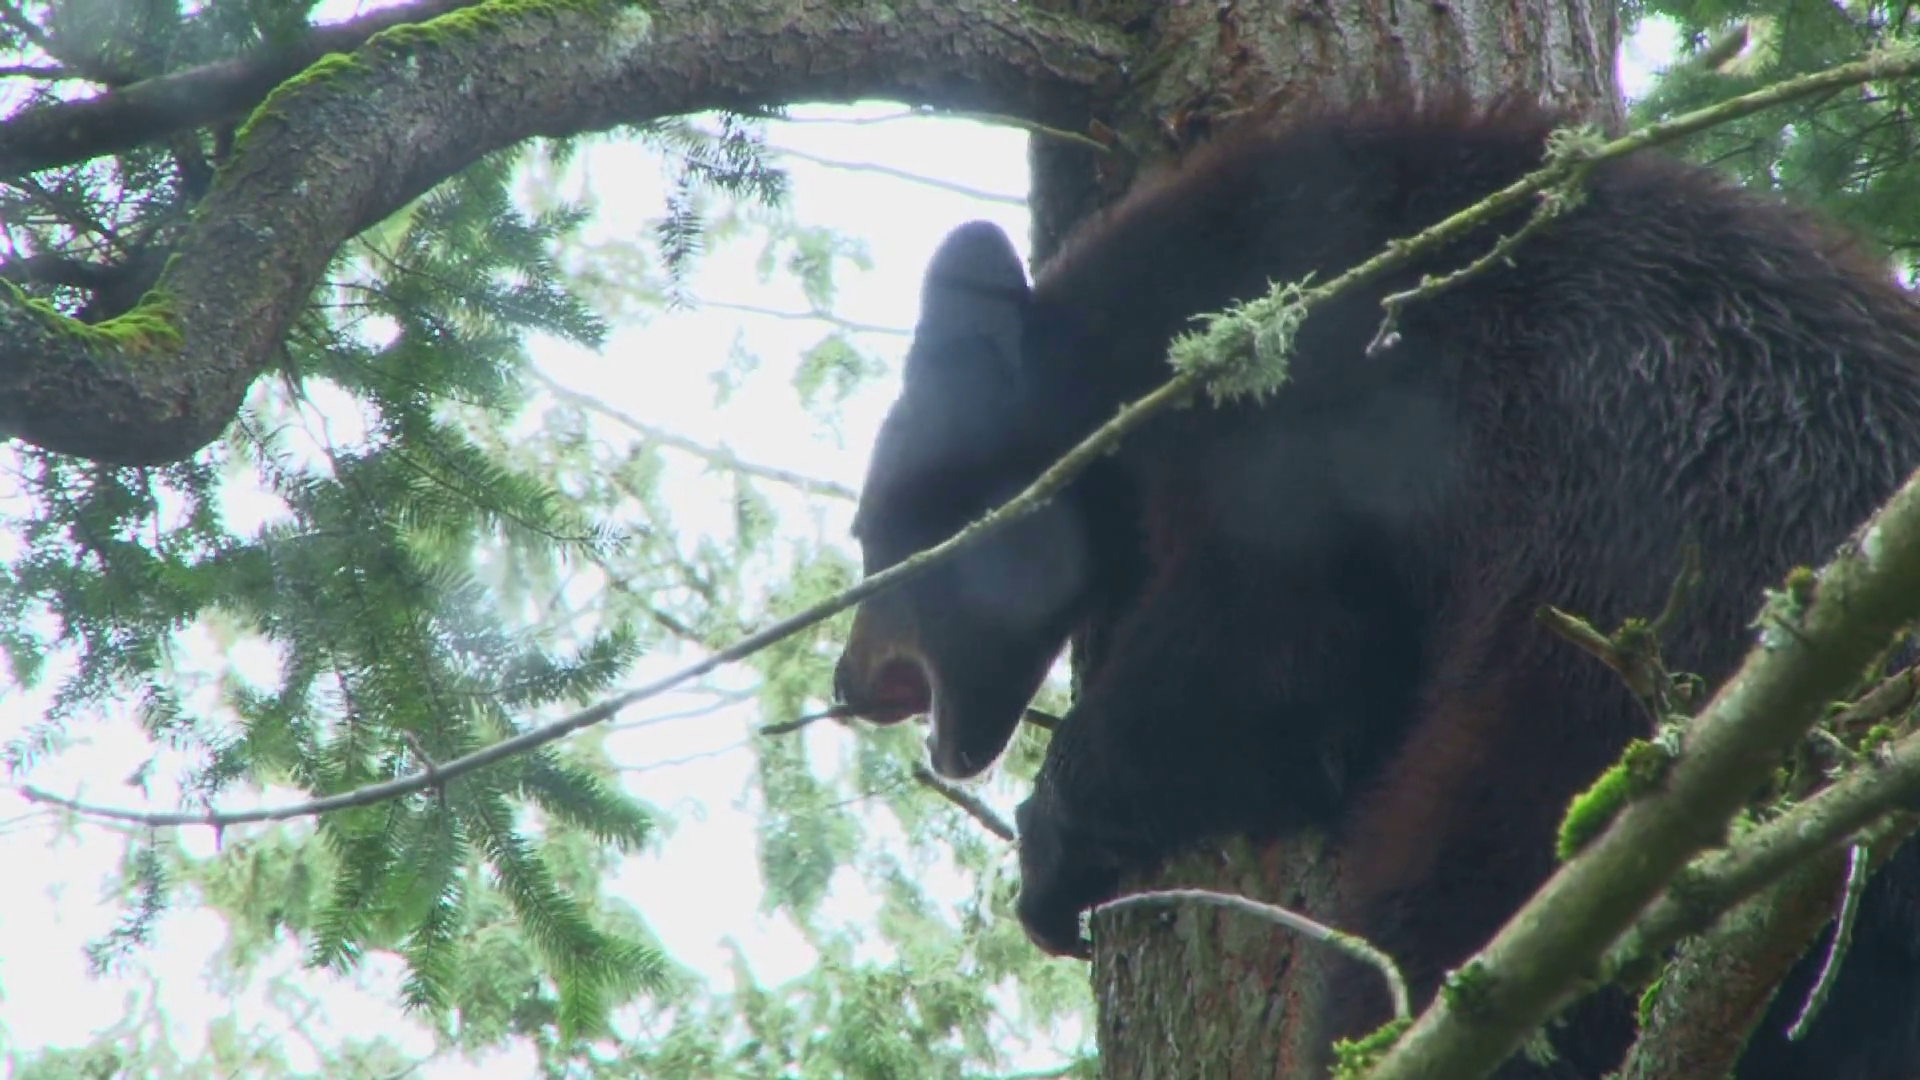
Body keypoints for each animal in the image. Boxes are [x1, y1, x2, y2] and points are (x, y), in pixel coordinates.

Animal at [830, 96, 1920, 1078]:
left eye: (873, 529)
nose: (847, 684)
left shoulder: (1338, 428)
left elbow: (1275, 659)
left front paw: (1053, 842)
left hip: (1616, 689)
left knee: (1460, 911)